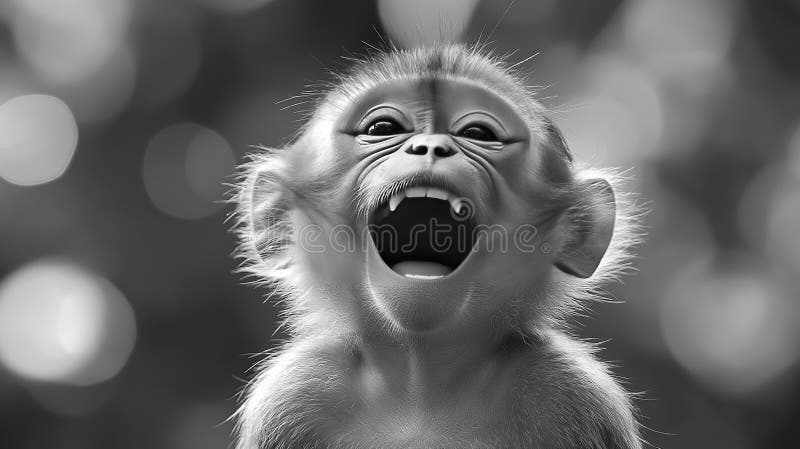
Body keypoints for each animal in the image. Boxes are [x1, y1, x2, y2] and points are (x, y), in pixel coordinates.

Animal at [230, 43, 644, 449]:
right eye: (383, 128)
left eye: (479, 133)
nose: (431, 146)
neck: (422, 386)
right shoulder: (294, 392)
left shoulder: (572, 391)